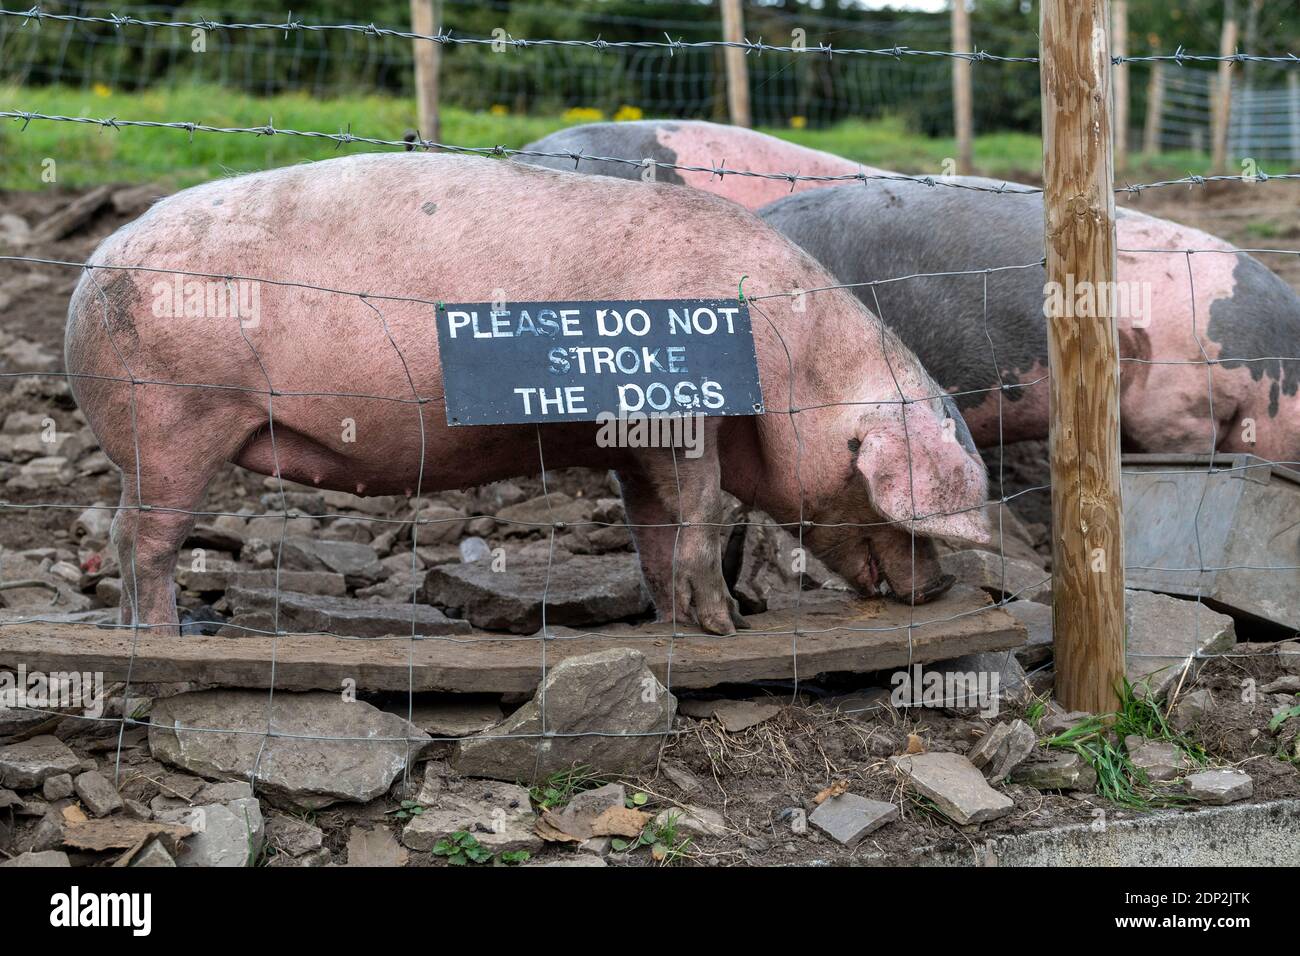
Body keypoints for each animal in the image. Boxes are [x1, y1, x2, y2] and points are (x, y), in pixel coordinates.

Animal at [64, 152, 991, 637]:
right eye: (871, 486)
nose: (941, 587)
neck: (796, 367)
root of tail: (90, 270)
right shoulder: (685, 411)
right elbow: (703, 509)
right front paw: (726, 625)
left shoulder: (633, 440)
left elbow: (654, 528)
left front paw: (668, 622)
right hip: (175, 418)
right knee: (142, 541)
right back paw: (164, 638)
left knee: (122, 535)